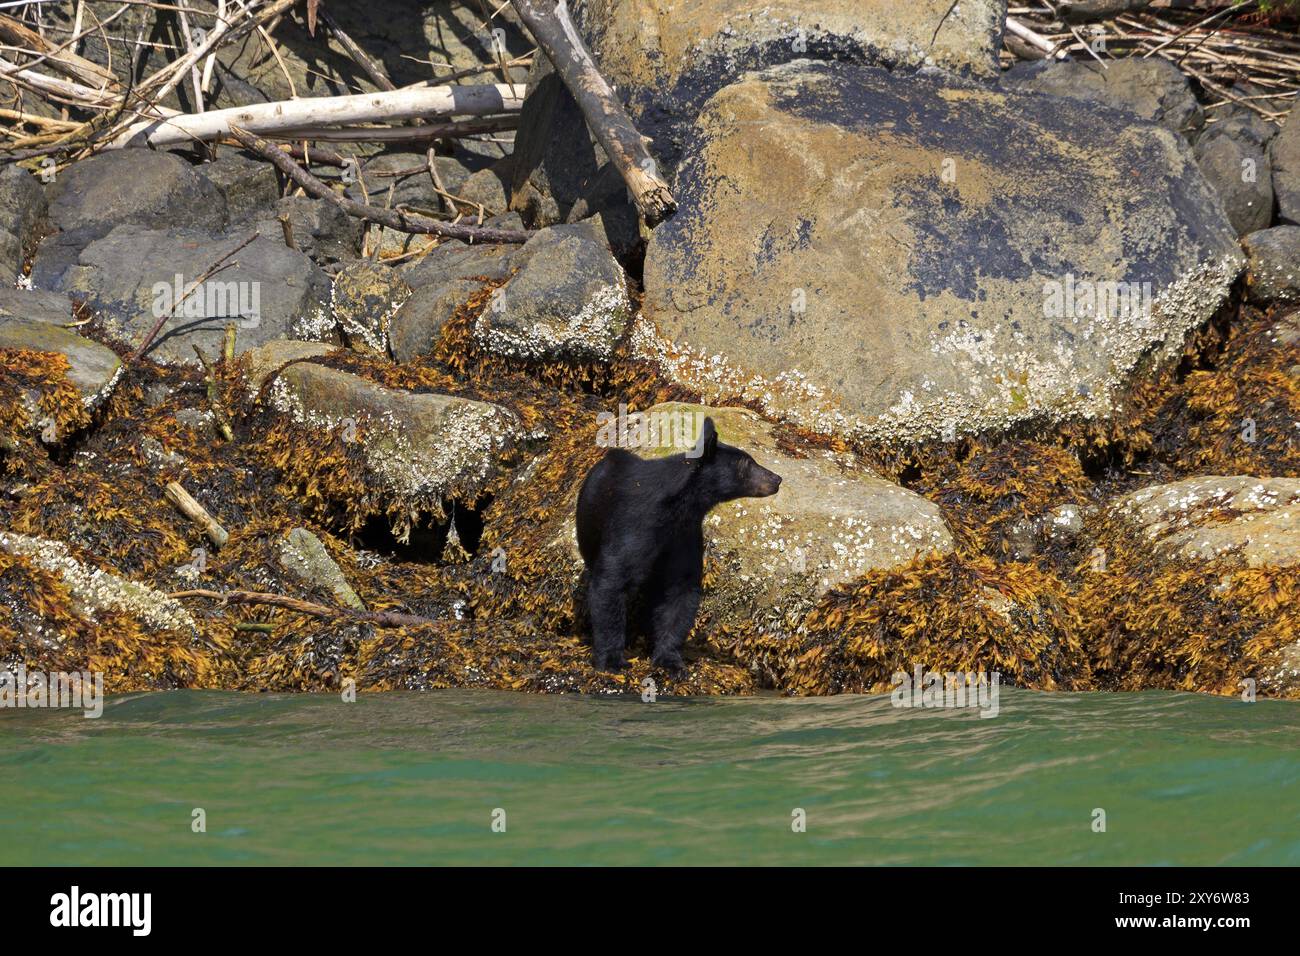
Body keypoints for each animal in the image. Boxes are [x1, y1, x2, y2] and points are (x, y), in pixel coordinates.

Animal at [575, 416, 782, 677]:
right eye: (746, 463)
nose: (777, 479)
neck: (678, 508)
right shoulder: (634, 524)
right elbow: (612, 581)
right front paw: (611, 660)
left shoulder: (683, 535)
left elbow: (679, 590)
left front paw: (670, 661)